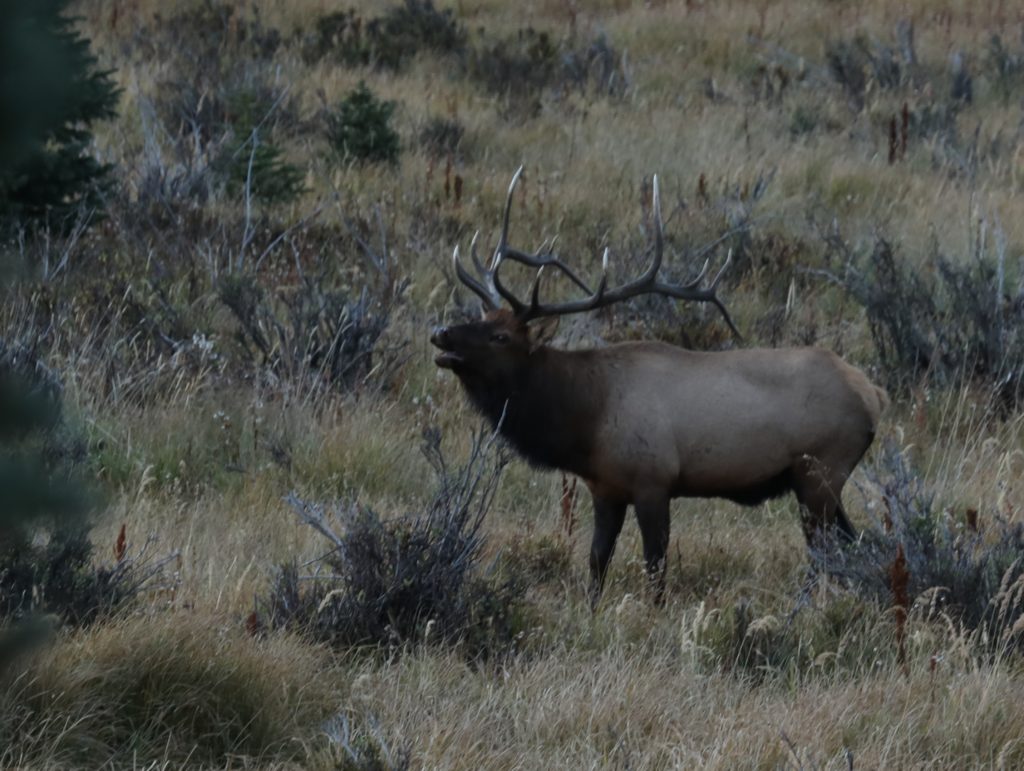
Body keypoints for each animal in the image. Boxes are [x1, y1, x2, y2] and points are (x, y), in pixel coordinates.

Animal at [431, 168, 889, 606]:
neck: (586, 422)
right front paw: (590, 612)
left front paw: (653, 613)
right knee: (852, 543)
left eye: (501, 336)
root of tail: (874, 395)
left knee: (825, 551)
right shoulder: (605, 488)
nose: (441, 333)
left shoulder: (654, 480)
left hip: (821, 471)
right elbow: (597, 561)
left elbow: (655, 565)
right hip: (817, 480)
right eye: (481, 318)